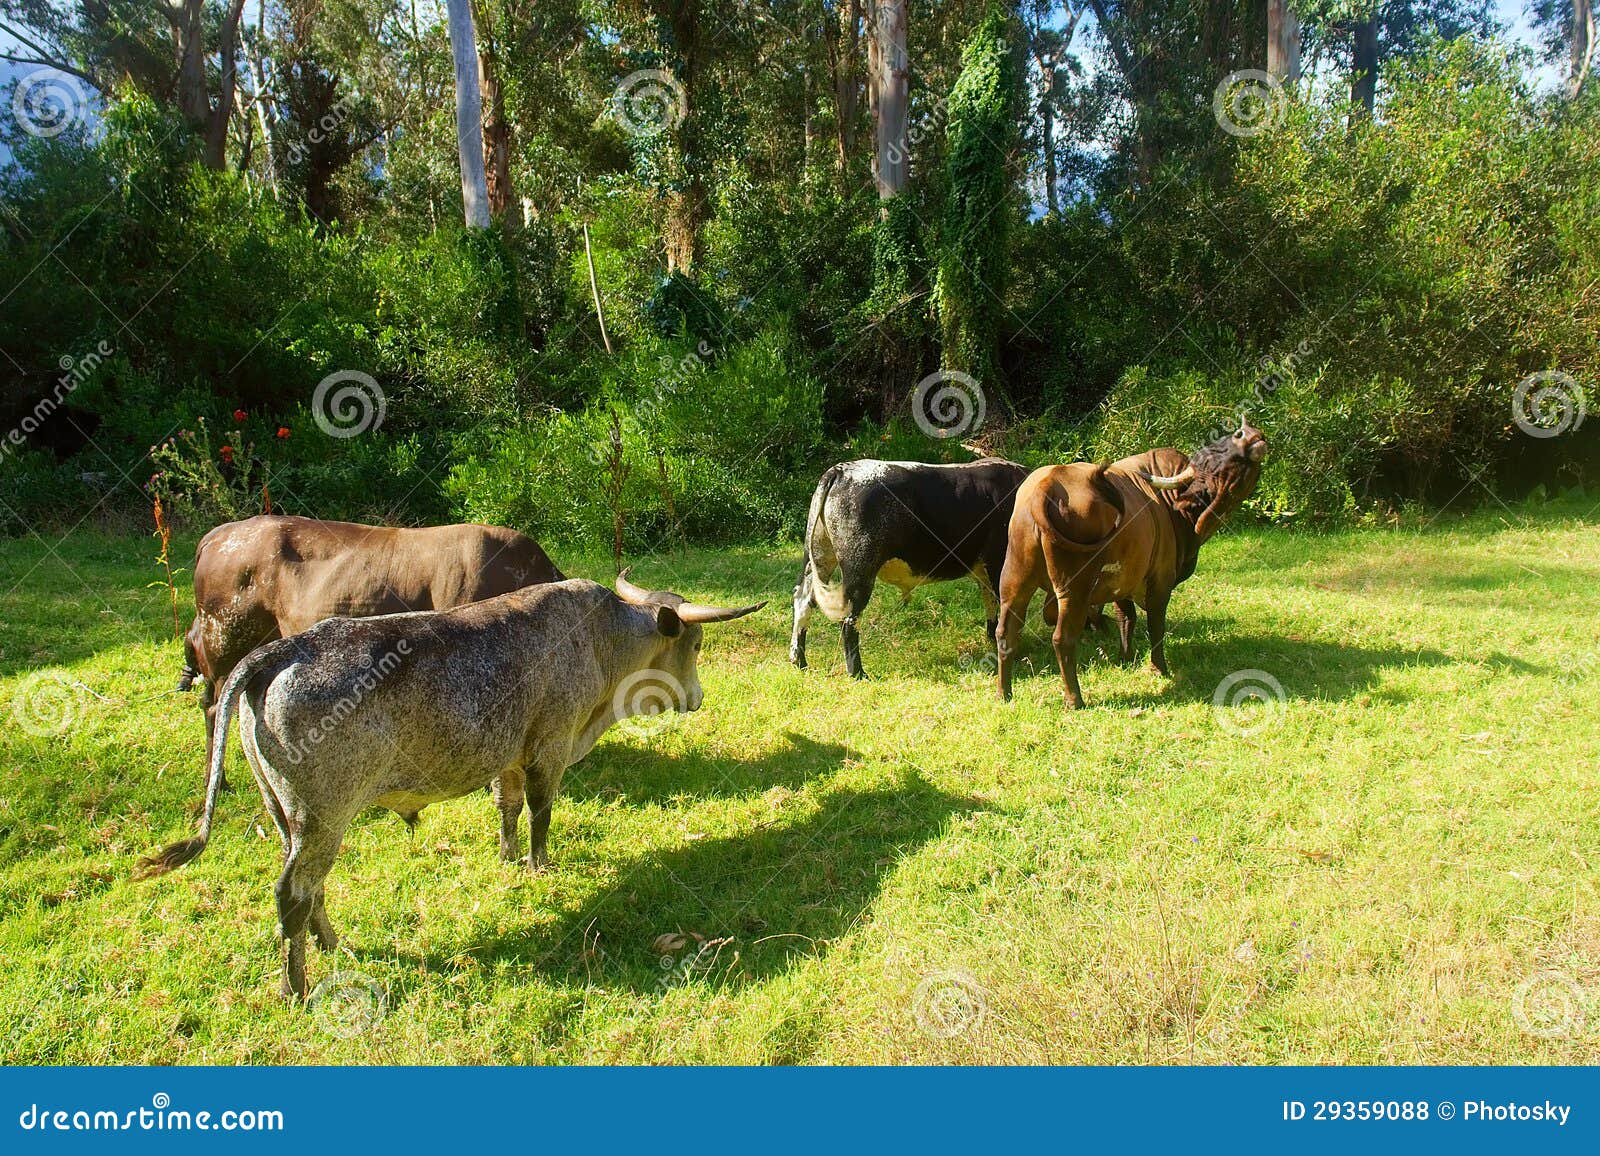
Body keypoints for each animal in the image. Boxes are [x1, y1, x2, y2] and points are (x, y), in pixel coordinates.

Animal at [138, 571, 765, 1001]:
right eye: (695, 646)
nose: (698, 698)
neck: (600, 640)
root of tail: (282, 648)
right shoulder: (551, 745)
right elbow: (541, 812)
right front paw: (539, 864)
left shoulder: (510, 754)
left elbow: (509, 807)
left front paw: (509, 859)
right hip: (323, 816)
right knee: (293, 892)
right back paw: (298, 985)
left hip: (285, 814)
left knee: (311, 889)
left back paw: (332, 944)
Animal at [789, 458, 1029, 679]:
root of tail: (841, 469)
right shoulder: (999, 565)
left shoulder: (984, 571)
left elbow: (991, 604)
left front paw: (992, 640)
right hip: (859, 570)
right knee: (848, 620)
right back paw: (857, 673)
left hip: (818, 557)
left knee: (803, 602)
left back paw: (799, 661)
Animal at [997, 424, 1269, 709]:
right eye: (1217, 449)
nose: (1248, 432)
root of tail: (1046, 484)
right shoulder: (1160, 580)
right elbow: (1155, 624)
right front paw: (1158, 668)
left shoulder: (1122, 580)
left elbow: (1126, 616)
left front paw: (1125, 658)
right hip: (1074, 588)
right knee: (1062, 638)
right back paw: (1074, 699)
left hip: (1014, 581)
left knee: (1005, 633)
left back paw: (1004, 693)